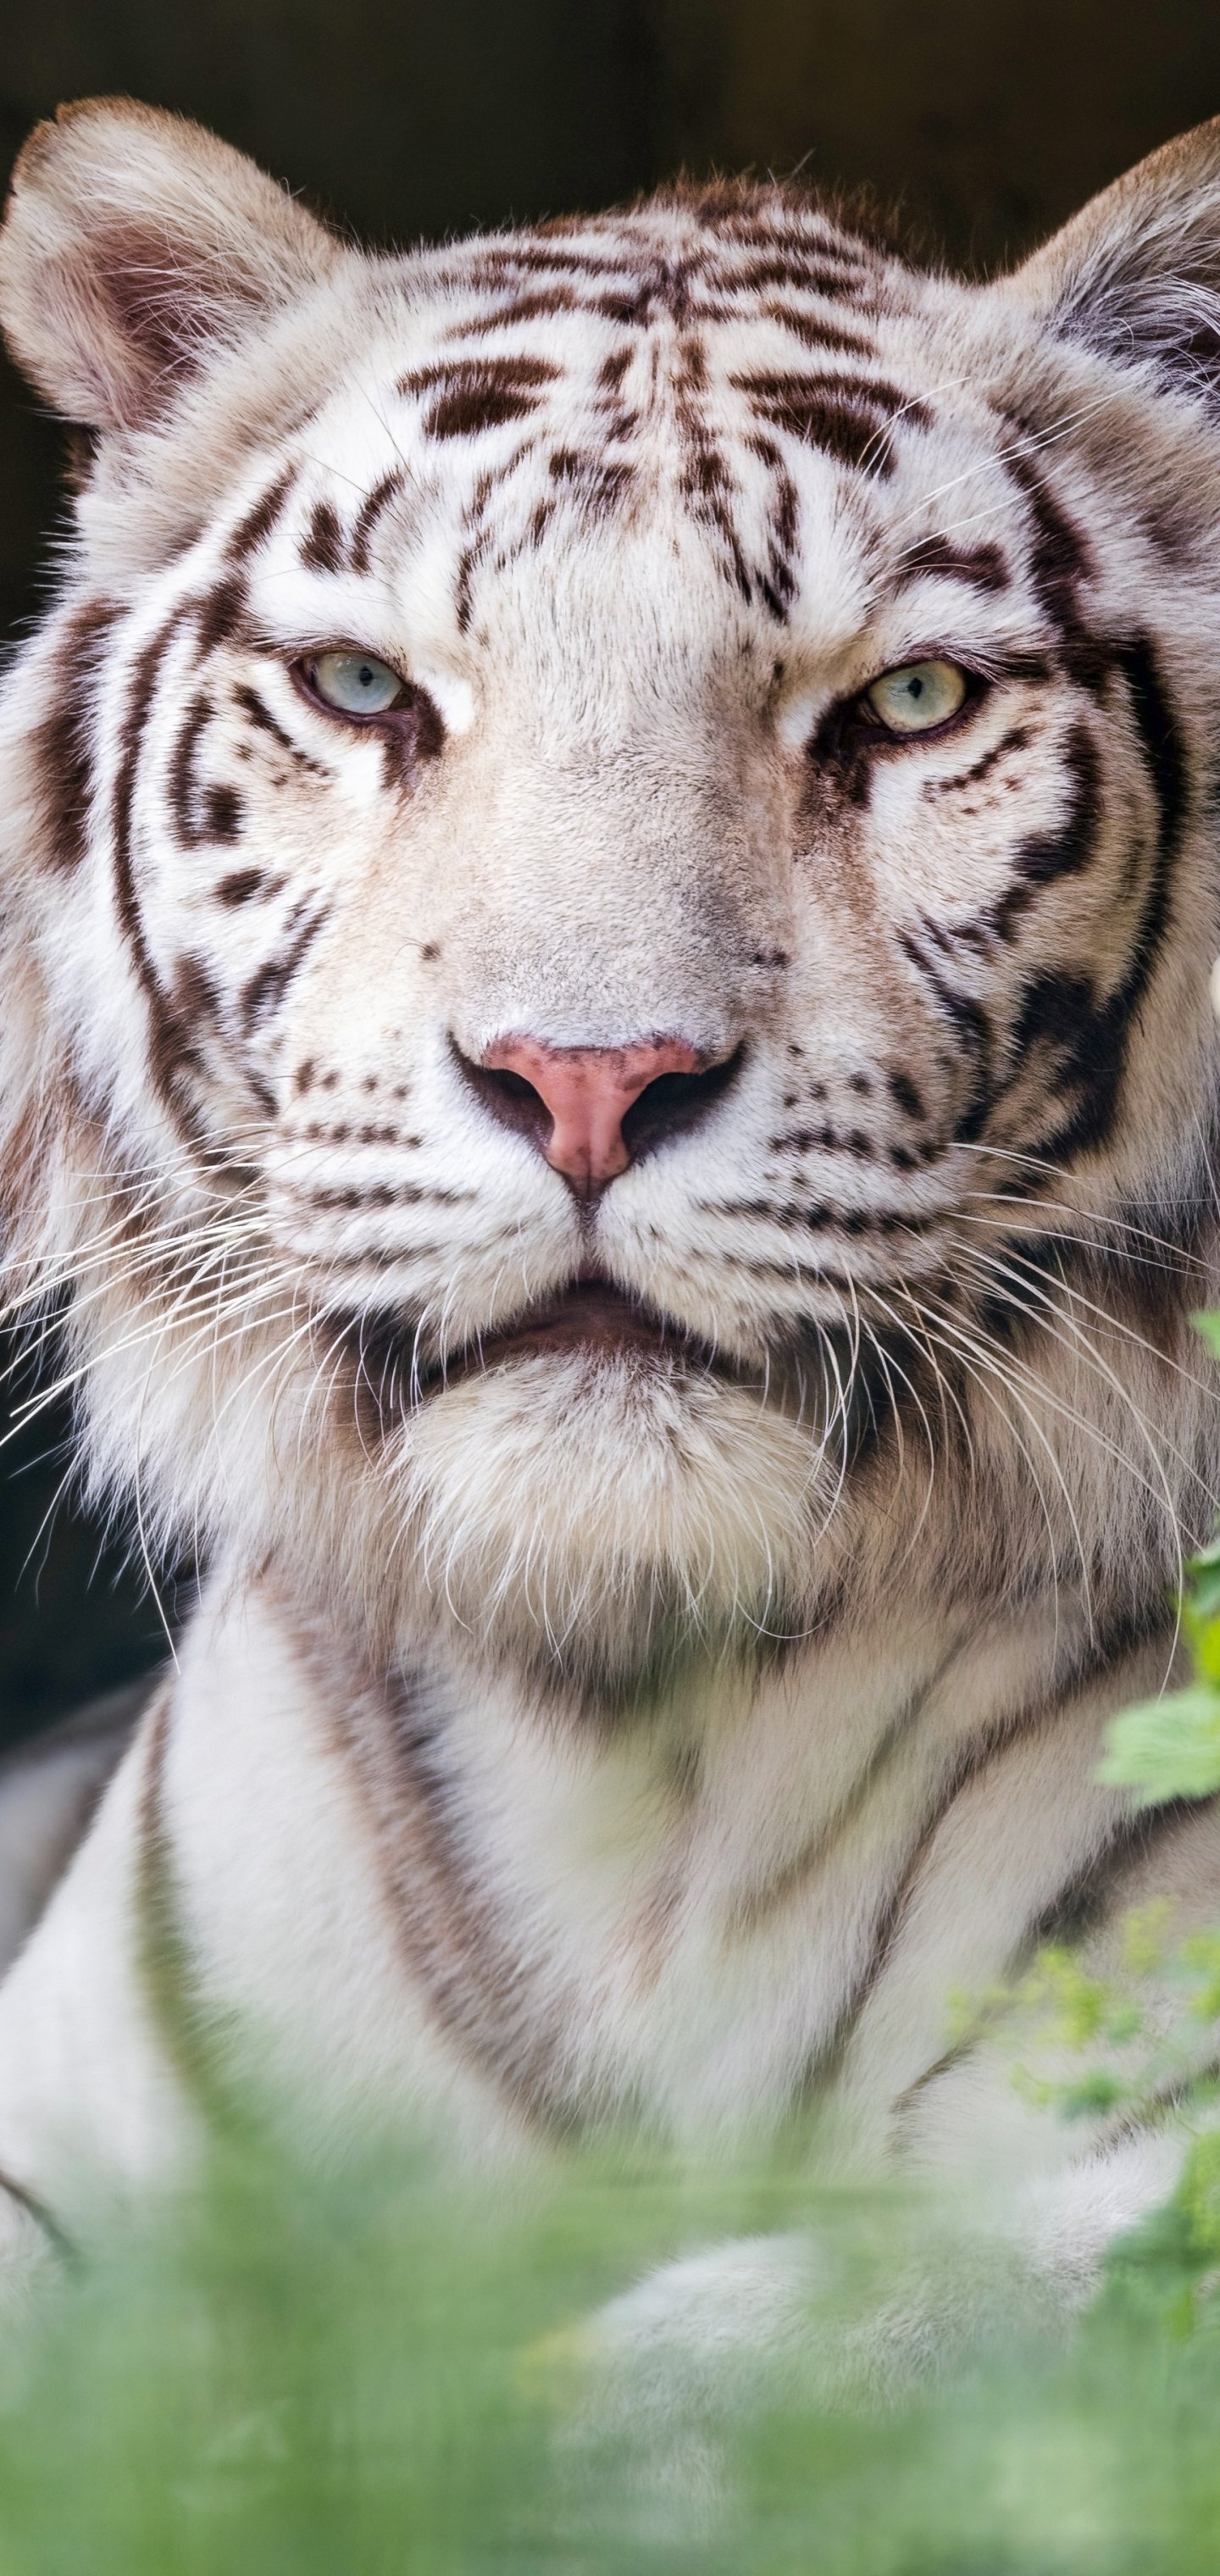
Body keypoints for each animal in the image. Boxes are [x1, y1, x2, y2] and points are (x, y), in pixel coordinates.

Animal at [0, 92, 1215, 2392]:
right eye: (364, 688)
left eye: (909, 702)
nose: (585, 1078)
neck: (643, 1756)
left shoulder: (1134, 2174)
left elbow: (736, 2366)